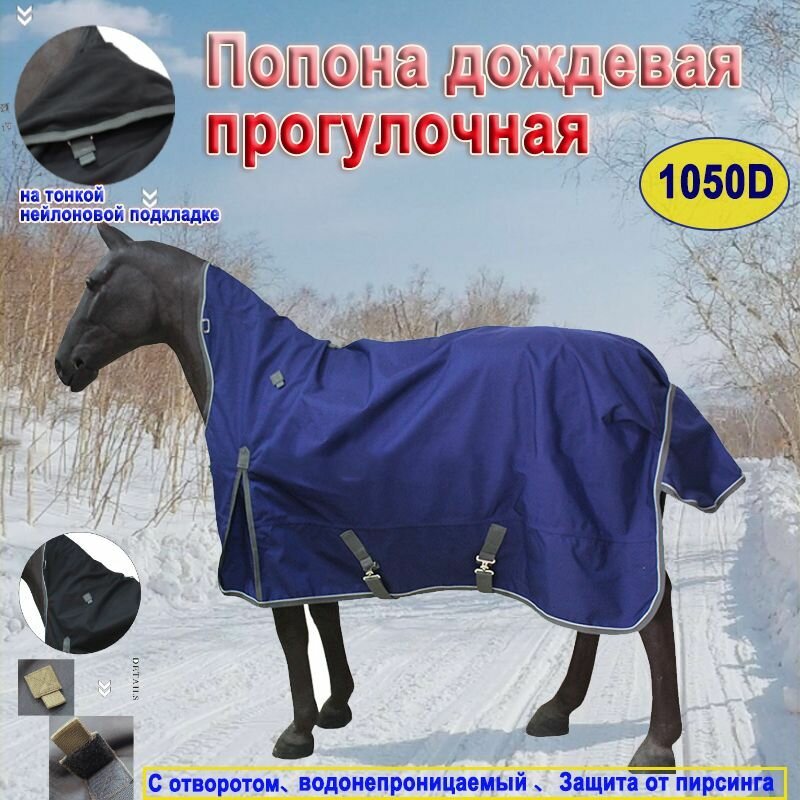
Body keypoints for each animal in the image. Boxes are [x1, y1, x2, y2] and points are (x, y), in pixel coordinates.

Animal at [55, 222, 737, 768]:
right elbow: (324, 616)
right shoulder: (308, 532)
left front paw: (296, 732)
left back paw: (655, 744)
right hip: (589, 540)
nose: (66, 366)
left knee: (650, 612)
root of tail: (652, 374)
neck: (260, 382)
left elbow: (293, 636)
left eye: (94, 282)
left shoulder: (267, 538)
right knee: (600, 619)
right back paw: (556, 712)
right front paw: (336, 708)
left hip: (595, 531)